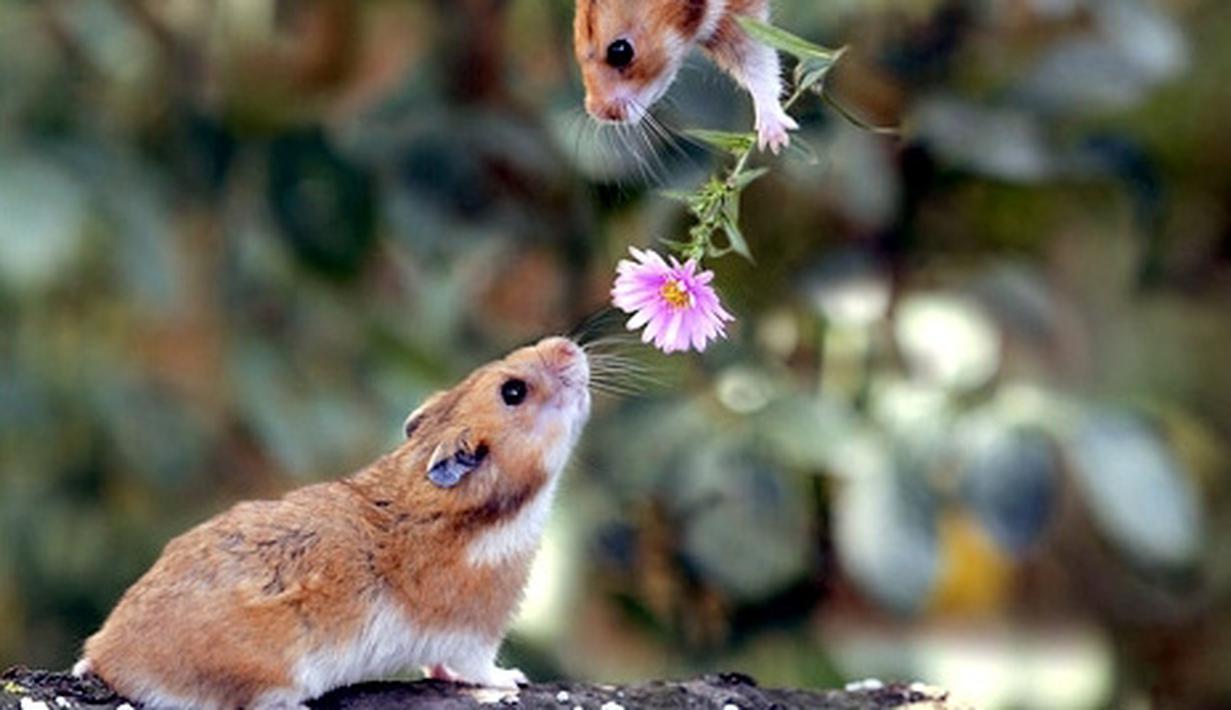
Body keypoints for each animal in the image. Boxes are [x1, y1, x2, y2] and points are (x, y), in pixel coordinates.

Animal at [73, 336, 591, 709]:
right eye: (513, 391)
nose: (569, 344)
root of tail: (106, 655)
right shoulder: (474, 631)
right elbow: (483, 669)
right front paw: (515, 678)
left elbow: (440, 668)